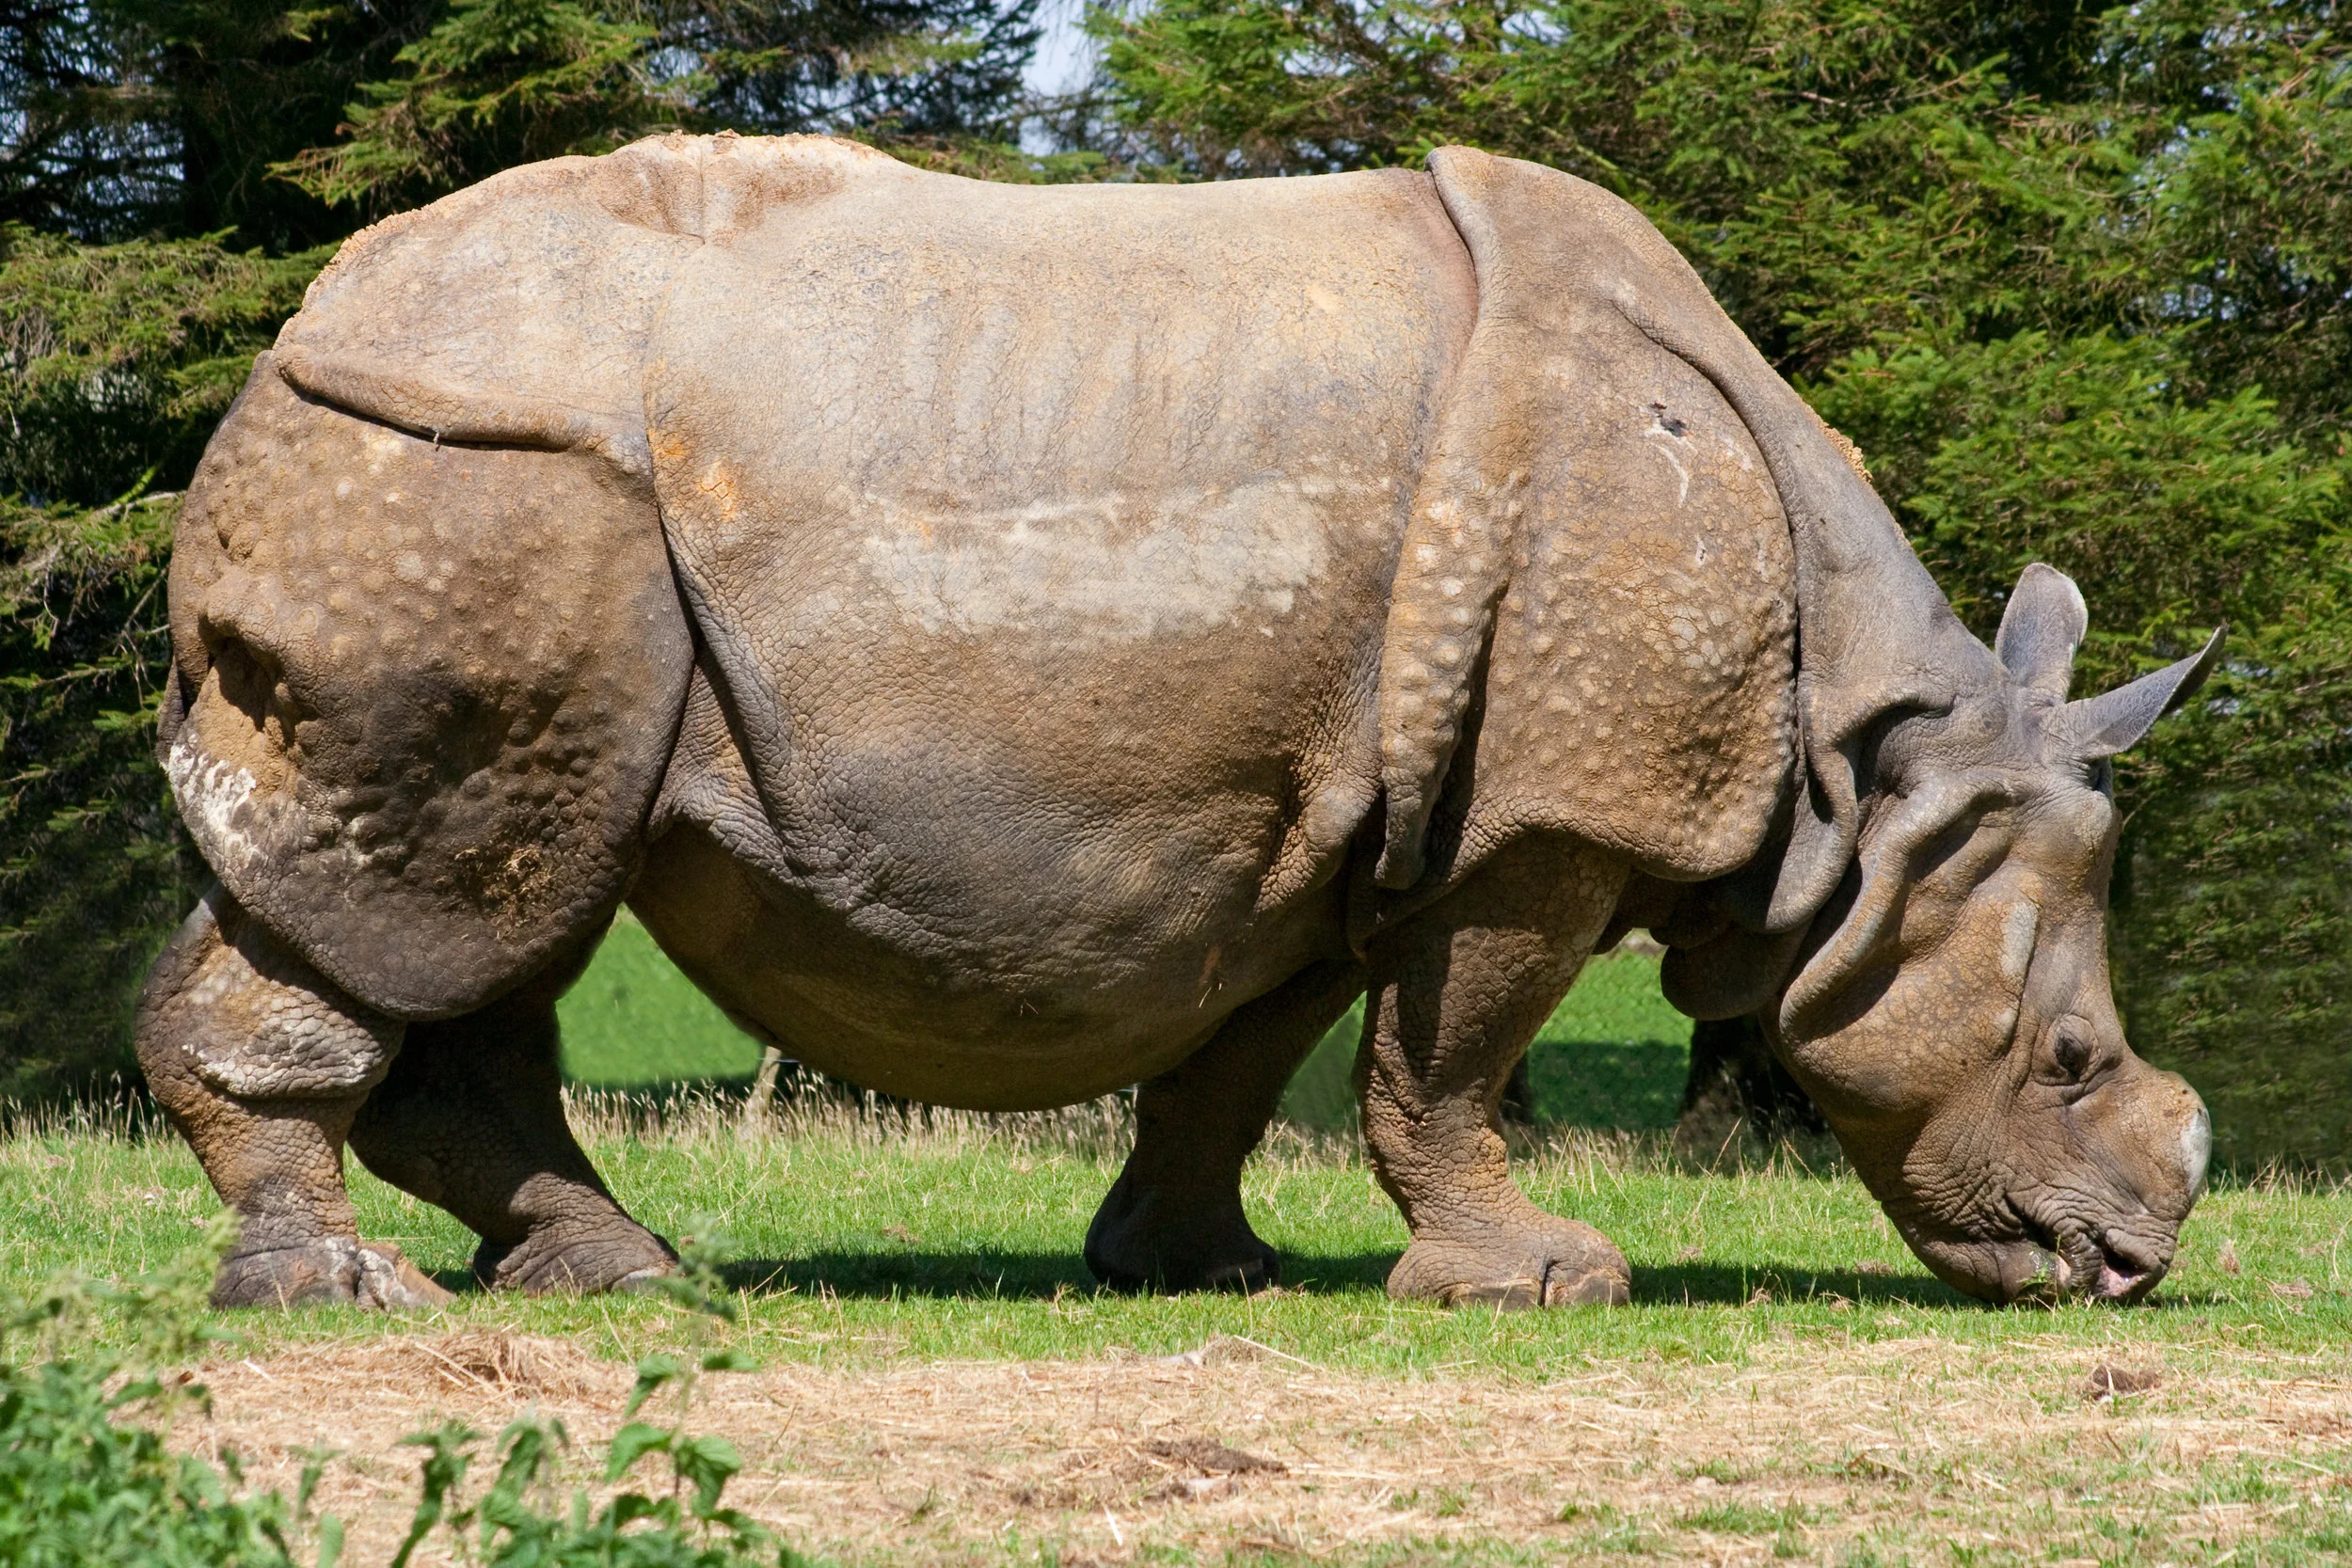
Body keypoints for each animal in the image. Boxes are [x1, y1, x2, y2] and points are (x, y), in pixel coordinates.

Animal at [138, 133, 2219, 1312]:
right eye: (2061, 1065)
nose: (2126, 1267)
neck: (1864, 769)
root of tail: (292, 333)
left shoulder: (1330, 814)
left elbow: (1249, 1049)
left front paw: (1198, 1264)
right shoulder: (1532, 821)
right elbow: (1450, 1053)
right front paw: (1544, 1283)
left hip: (491, 510)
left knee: (497, 907)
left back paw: (615, 1275)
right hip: (463, 486)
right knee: (428, 892)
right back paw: (339, 1294)